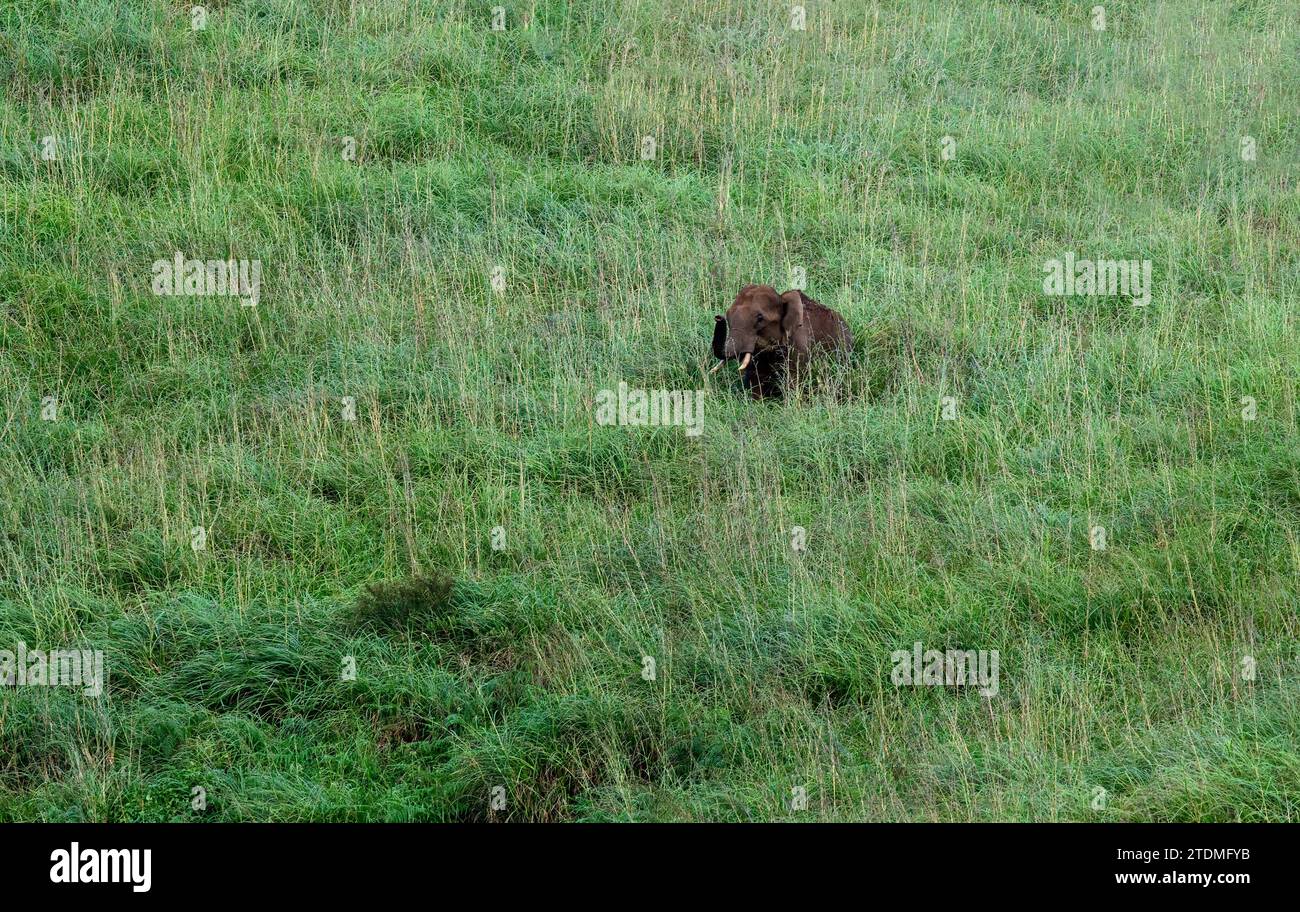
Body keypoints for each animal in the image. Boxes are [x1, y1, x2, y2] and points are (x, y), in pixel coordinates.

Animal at [710, 284, 853, 398]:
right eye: (728, 315)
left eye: (760, 318)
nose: (718, 317)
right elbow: (756, 381)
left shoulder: (800, 346)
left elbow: (794, 380)